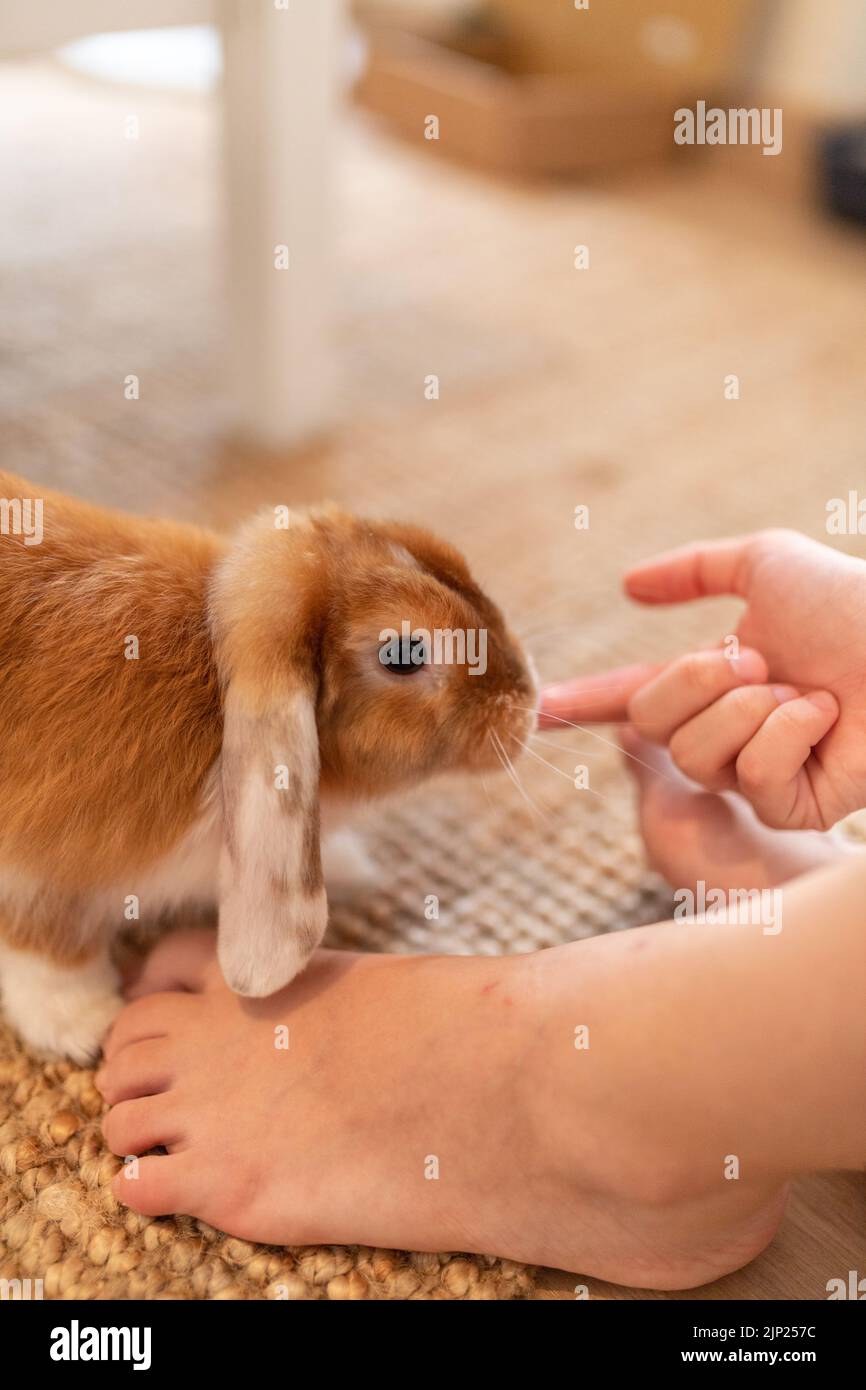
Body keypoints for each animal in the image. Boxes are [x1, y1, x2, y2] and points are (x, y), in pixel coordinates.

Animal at [0, 471, 538, 1062]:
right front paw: (90, 1027)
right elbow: (46, 952)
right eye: (403, 655)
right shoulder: (36, 874)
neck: (213, 685)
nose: (526, 702)